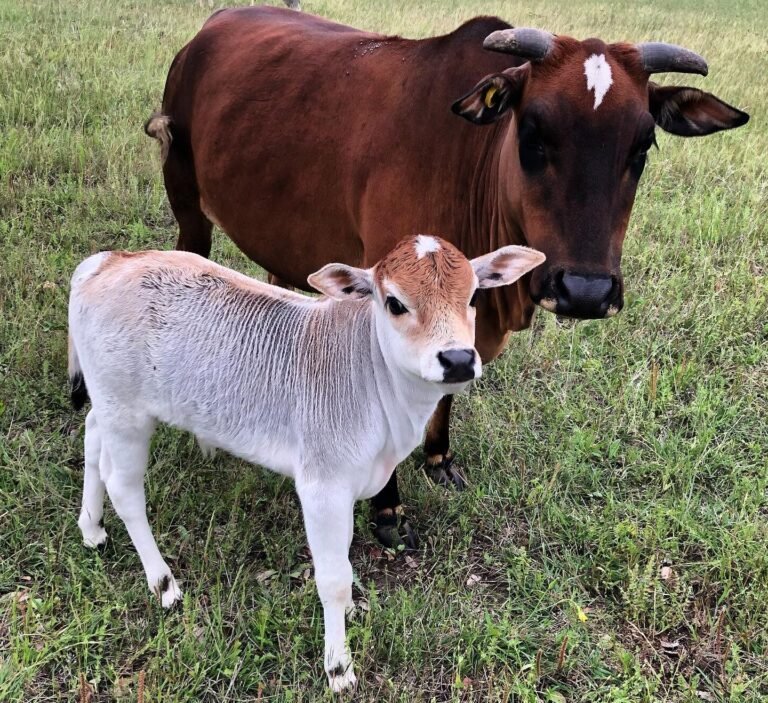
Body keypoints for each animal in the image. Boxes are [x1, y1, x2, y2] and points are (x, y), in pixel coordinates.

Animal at [67, 235, 545, 691]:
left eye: (473, 295)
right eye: (395, 303)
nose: (459, 359)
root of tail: (108, 260)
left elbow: (346, 560)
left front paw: (351, 608)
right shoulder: (323, 488)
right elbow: (331, 577)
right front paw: (338, 666)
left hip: (109, 404)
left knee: (91, 433)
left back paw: (91, 528)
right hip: (127, 410)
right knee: (125, 490)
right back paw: (163, 582)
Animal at [145, 6, 749, 549]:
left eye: (642, 144)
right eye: (532, 134)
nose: (586, 291)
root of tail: (210, 28)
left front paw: (439, 459)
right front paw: (388, 510)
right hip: (186, 205)